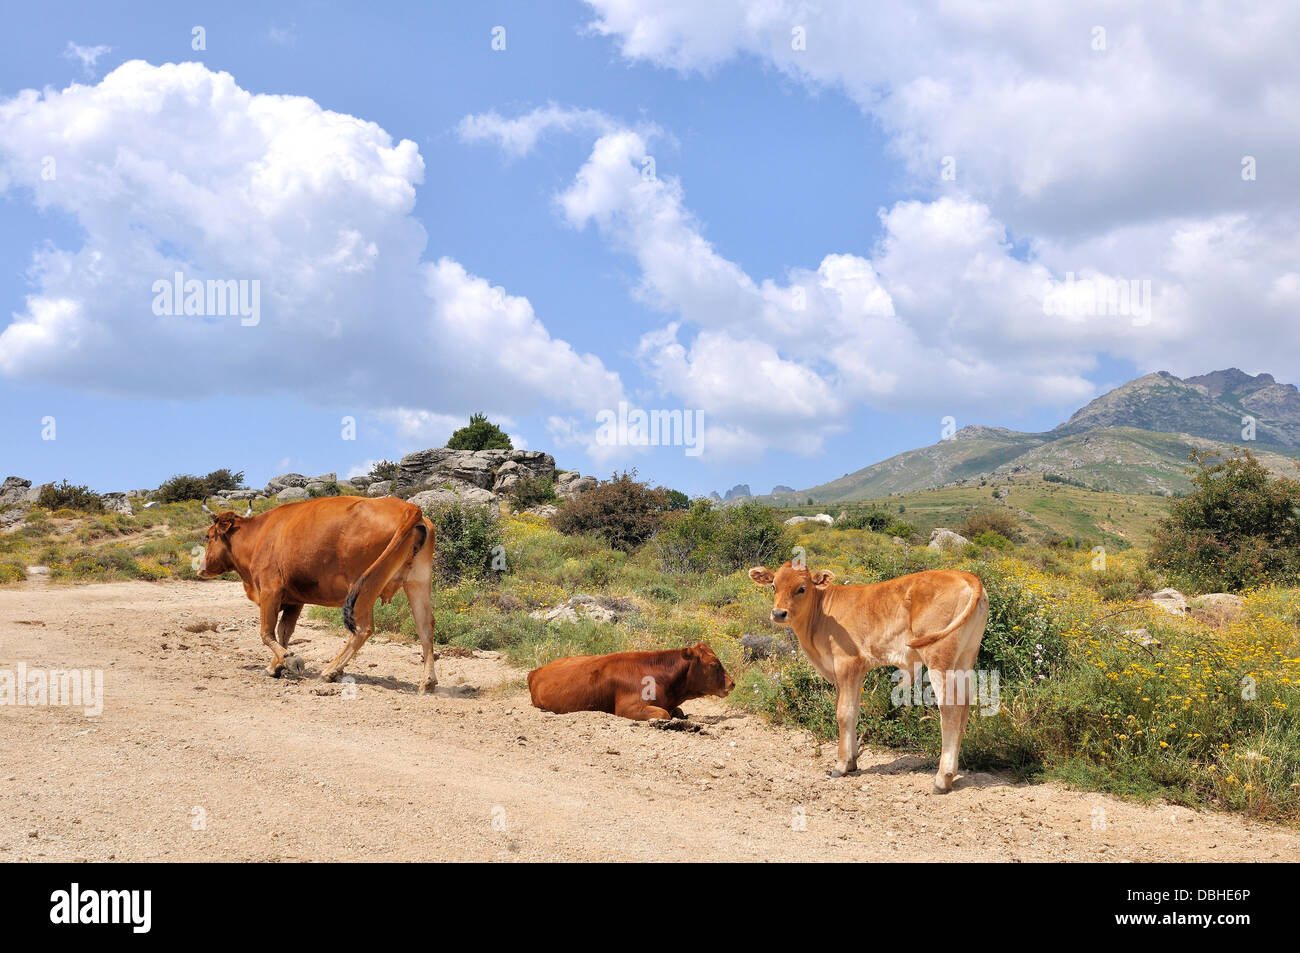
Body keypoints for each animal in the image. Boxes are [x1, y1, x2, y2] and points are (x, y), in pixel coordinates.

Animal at [197, 495, 438, 693]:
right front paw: (276, 666)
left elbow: (267, 633)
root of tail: (406, 507)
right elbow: (284, 632)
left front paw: (288, 660)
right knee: (425, 626)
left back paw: (330, 671)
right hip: (417, 581)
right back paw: (428, 681)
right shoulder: (294, 600)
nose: (201, 569)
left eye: (208, 536)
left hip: (365, 585)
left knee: (363, 629)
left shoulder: (269, 590)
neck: (258, 535)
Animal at [527, 643, 735, 721]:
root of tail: (536, 670)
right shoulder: (628, 708)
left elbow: (677, 712)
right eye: (714, 664)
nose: (732, 683)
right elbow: (664, 714)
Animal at [748, 562, 988, 793]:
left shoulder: (846, 663)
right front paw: (852, 761)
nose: (778, 613)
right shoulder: (852, 671)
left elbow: (843, 713)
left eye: (802, 588)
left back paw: (942, 779)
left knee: (950, 710)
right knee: (964, 708)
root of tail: (966, 576)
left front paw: (841, 765)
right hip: (965, 658)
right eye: (773, 586)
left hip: (939, 658)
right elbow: (853, 711)